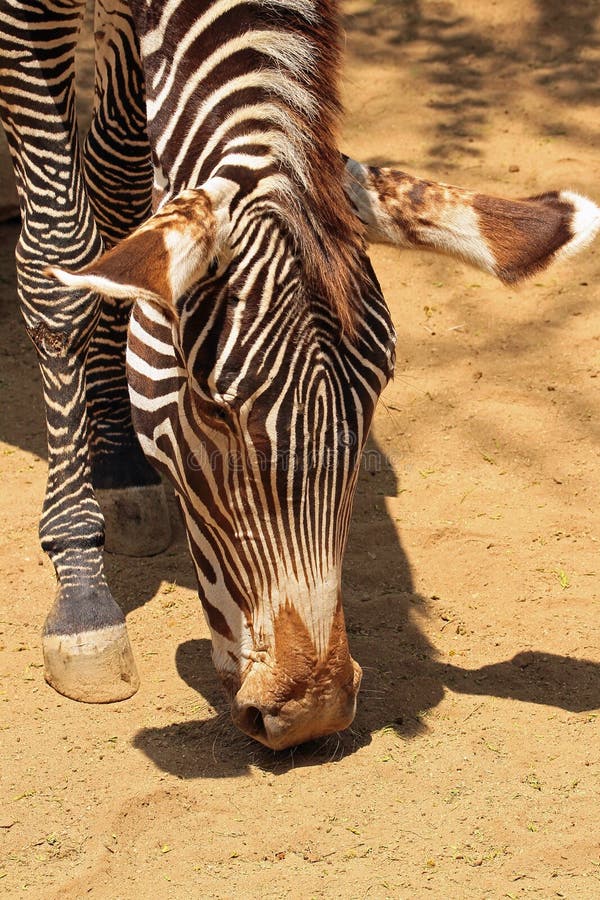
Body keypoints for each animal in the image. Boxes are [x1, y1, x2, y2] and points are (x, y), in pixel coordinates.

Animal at [3, 0, 599, 748]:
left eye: (378, 395)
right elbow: (59, 254)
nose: (310, 711)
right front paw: (82, 589)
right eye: (213, 408)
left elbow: (117, 188)